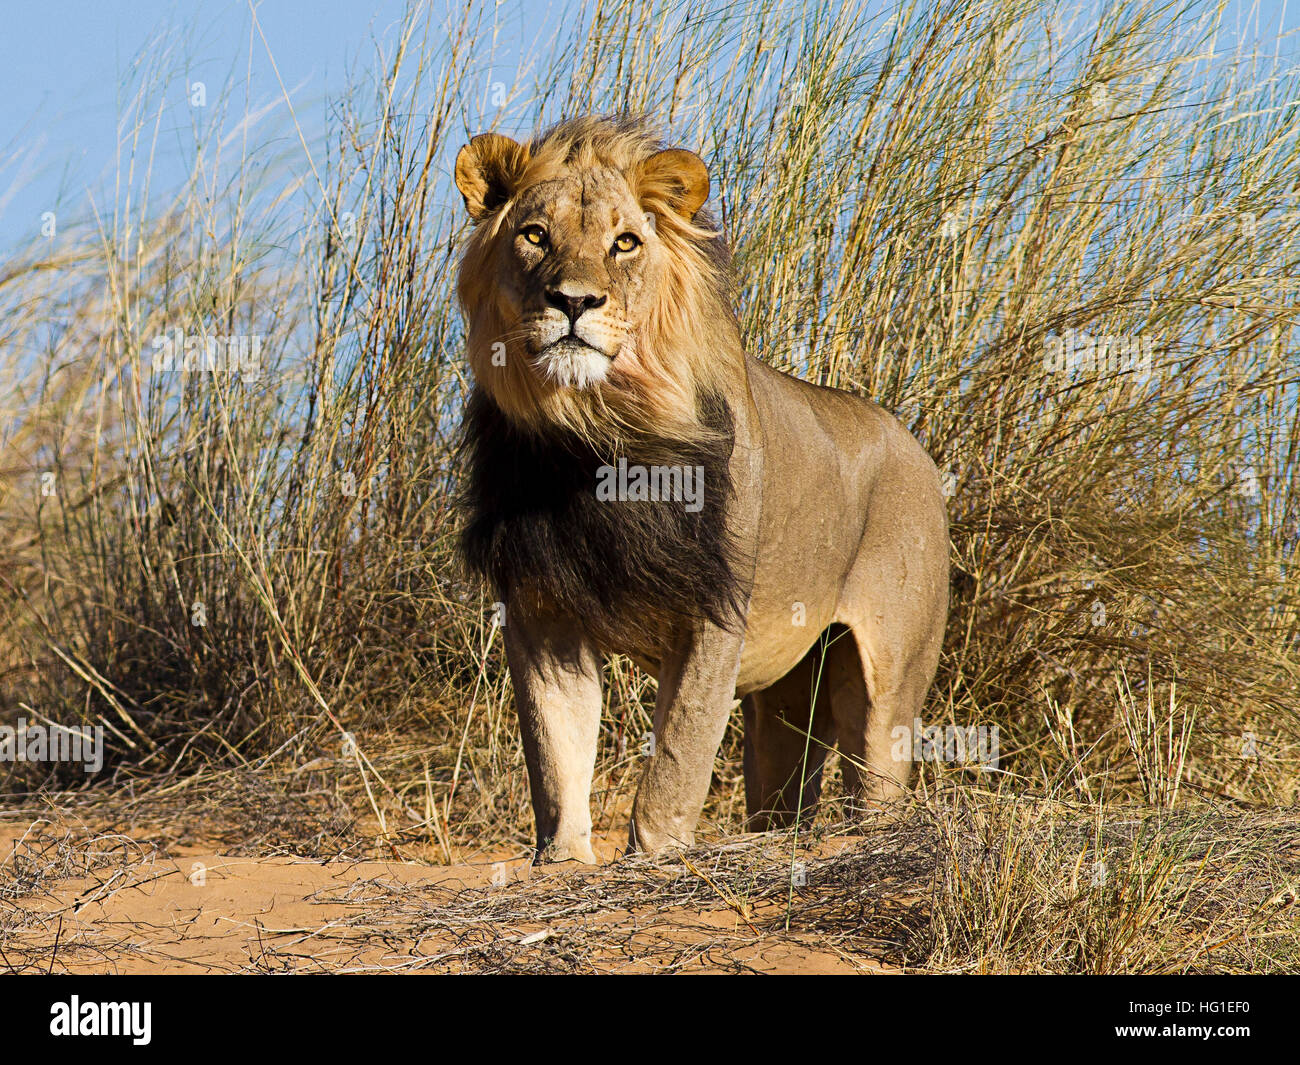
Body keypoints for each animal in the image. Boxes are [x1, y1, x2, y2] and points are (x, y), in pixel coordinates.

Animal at [454, 115, 948, 862]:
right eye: (535, 235)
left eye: (625, 242)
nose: (573, 301)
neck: (598, 427)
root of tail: (912, 441)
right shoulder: (541, 609)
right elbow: (555, 749)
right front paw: (560, 861)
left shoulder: (714, 614)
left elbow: (677, 756)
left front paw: (658, 854)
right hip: (787, 693)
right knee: (783, 776)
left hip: (888, 676)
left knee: (876, 770)